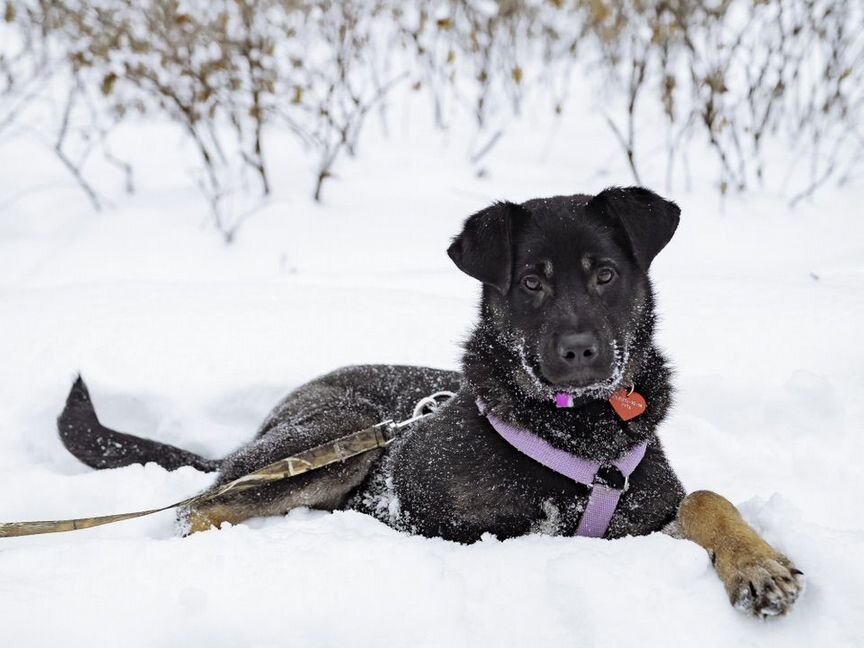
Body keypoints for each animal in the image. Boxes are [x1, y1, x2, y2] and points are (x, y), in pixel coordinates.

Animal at [59, 186, 804, 616]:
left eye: (606, 274)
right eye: (531, 281)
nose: (580, 353)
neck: (580, 429)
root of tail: (270, 417)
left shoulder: (643, 511)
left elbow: (704, 497)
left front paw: (758, 565)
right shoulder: (458, 524)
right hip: (340, 431)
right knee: (197, 508)